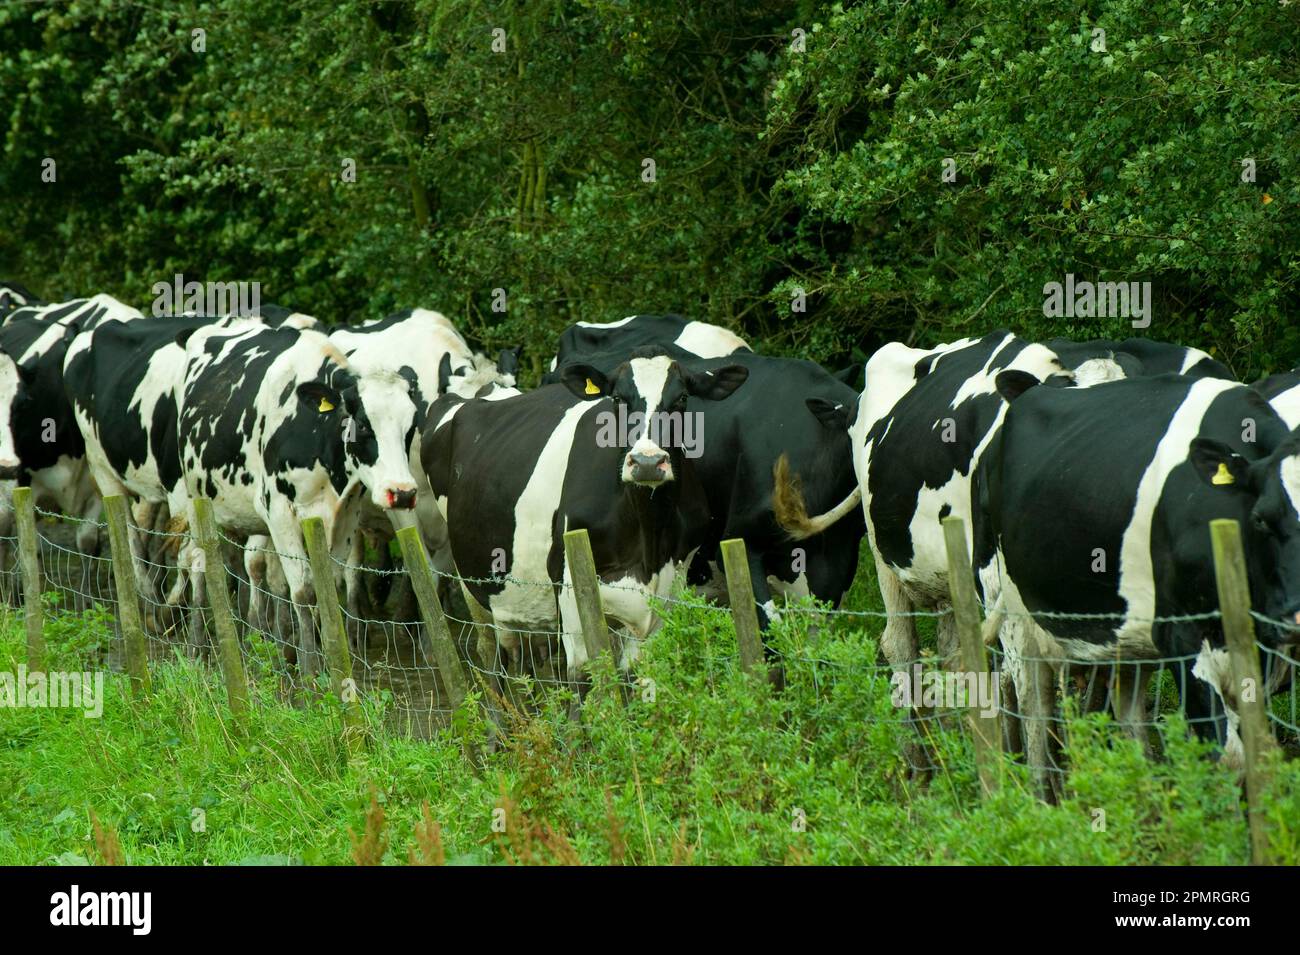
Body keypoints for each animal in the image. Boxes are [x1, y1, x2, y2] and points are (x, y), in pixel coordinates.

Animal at [174, 321, 421, 672]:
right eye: (362, 424)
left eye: (411, 426)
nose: (401, 492)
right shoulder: (279, 511)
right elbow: (304, 591)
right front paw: (311, 669)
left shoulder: (345, 516)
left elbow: (328, 584)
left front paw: (329, 659)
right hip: (196, 501)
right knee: (198, 563)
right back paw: (198, 648)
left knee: (252, 569)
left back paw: (261, 644)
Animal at [422, 346, 748, 715]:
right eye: (618, 398)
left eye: (681, 398)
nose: (648, 462)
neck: (648, 533)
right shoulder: (567, 581)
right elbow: (581, 679)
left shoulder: (668, 589)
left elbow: (639, 680)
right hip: (472, 578)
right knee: (493, 654)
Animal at [972, 372, 1300, 797]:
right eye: (1261, 518)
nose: (1297, 617)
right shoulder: (1182, 635)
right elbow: (1228, 758)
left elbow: (1260, 755)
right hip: (1011, 609)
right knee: (1033, 701)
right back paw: (1041, 794)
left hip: (1126, 634)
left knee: (1127, 712)